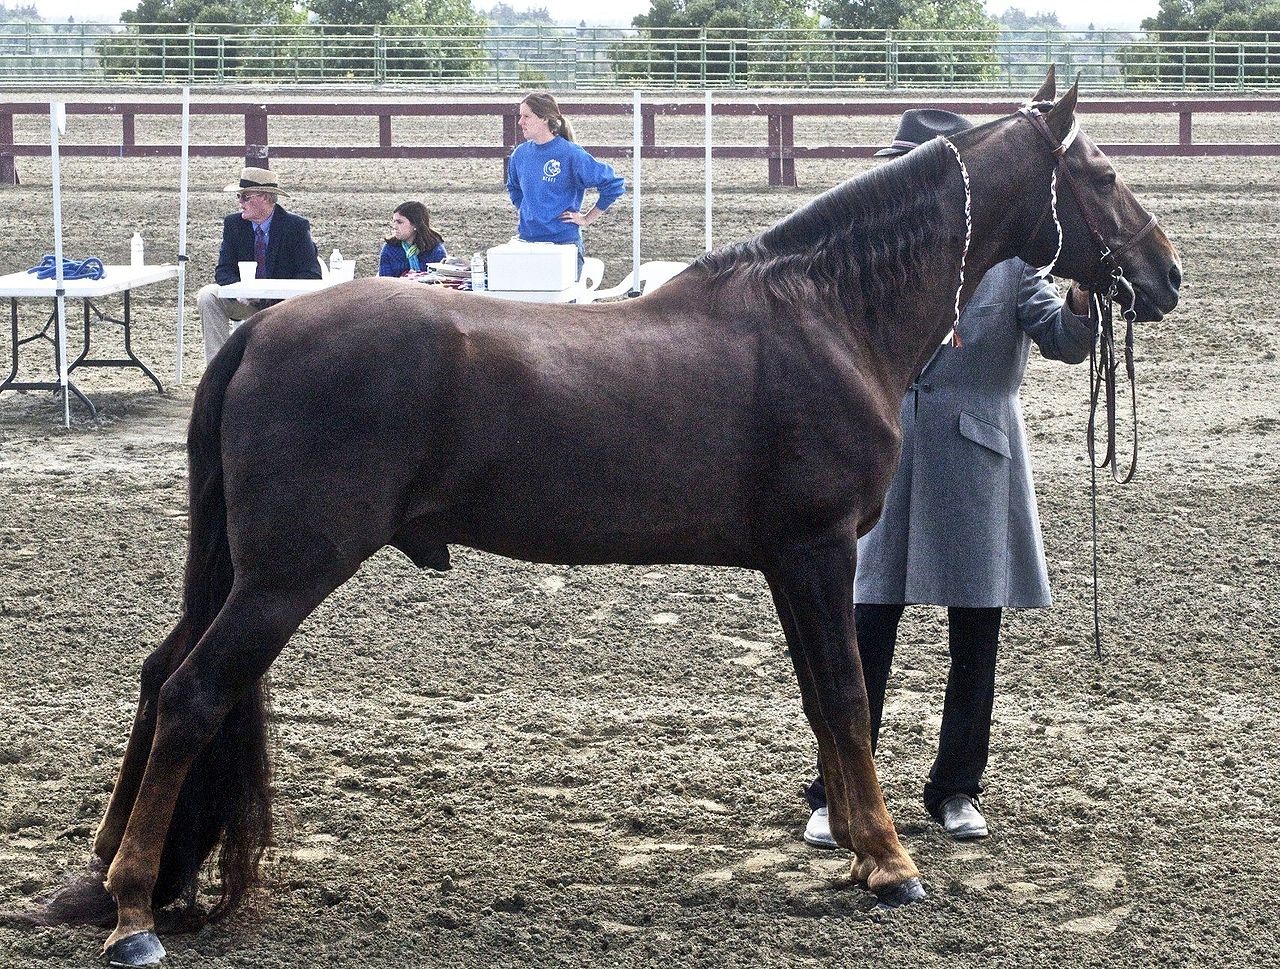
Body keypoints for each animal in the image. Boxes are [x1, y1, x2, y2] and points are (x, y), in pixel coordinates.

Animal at [28, 73, 1180, 967]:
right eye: (1102, 174)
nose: (1162, 275)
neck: (825, 312)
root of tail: (256, 338)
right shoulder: (813, 552)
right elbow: (851, 698)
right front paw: (891, 862)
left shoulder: (788, 565)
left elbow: (823, 702)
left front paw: (860, 848)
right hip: (285, 573)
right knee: (191, 694)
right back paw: (132, 914)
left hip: (243, 568)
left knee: (156, 677)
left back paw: (104, 871)